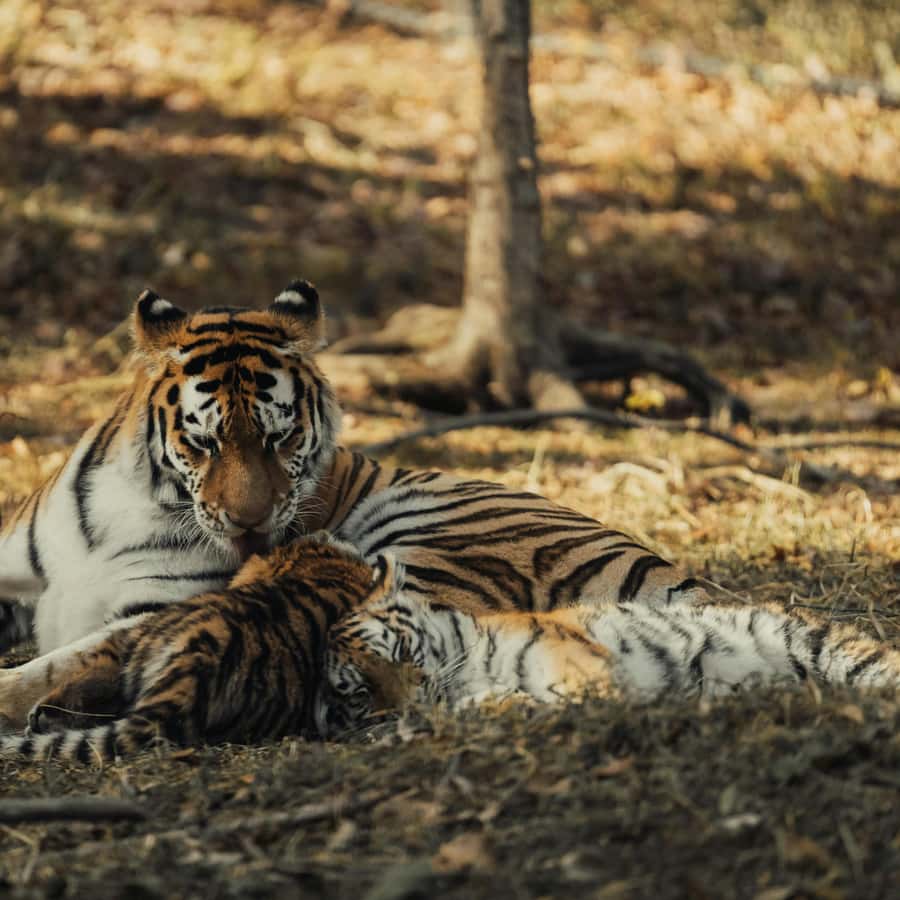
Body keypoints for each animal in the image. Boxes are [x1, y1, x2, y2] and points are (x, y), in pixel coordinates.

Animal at [0, 282, 707, 730]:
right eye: (204, 443)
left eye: (280, 438)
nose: (252, 523)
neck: (131, 500)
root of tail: (681, 575)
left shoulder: (154, 604)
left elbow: (68, 654)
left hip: (422, 549)